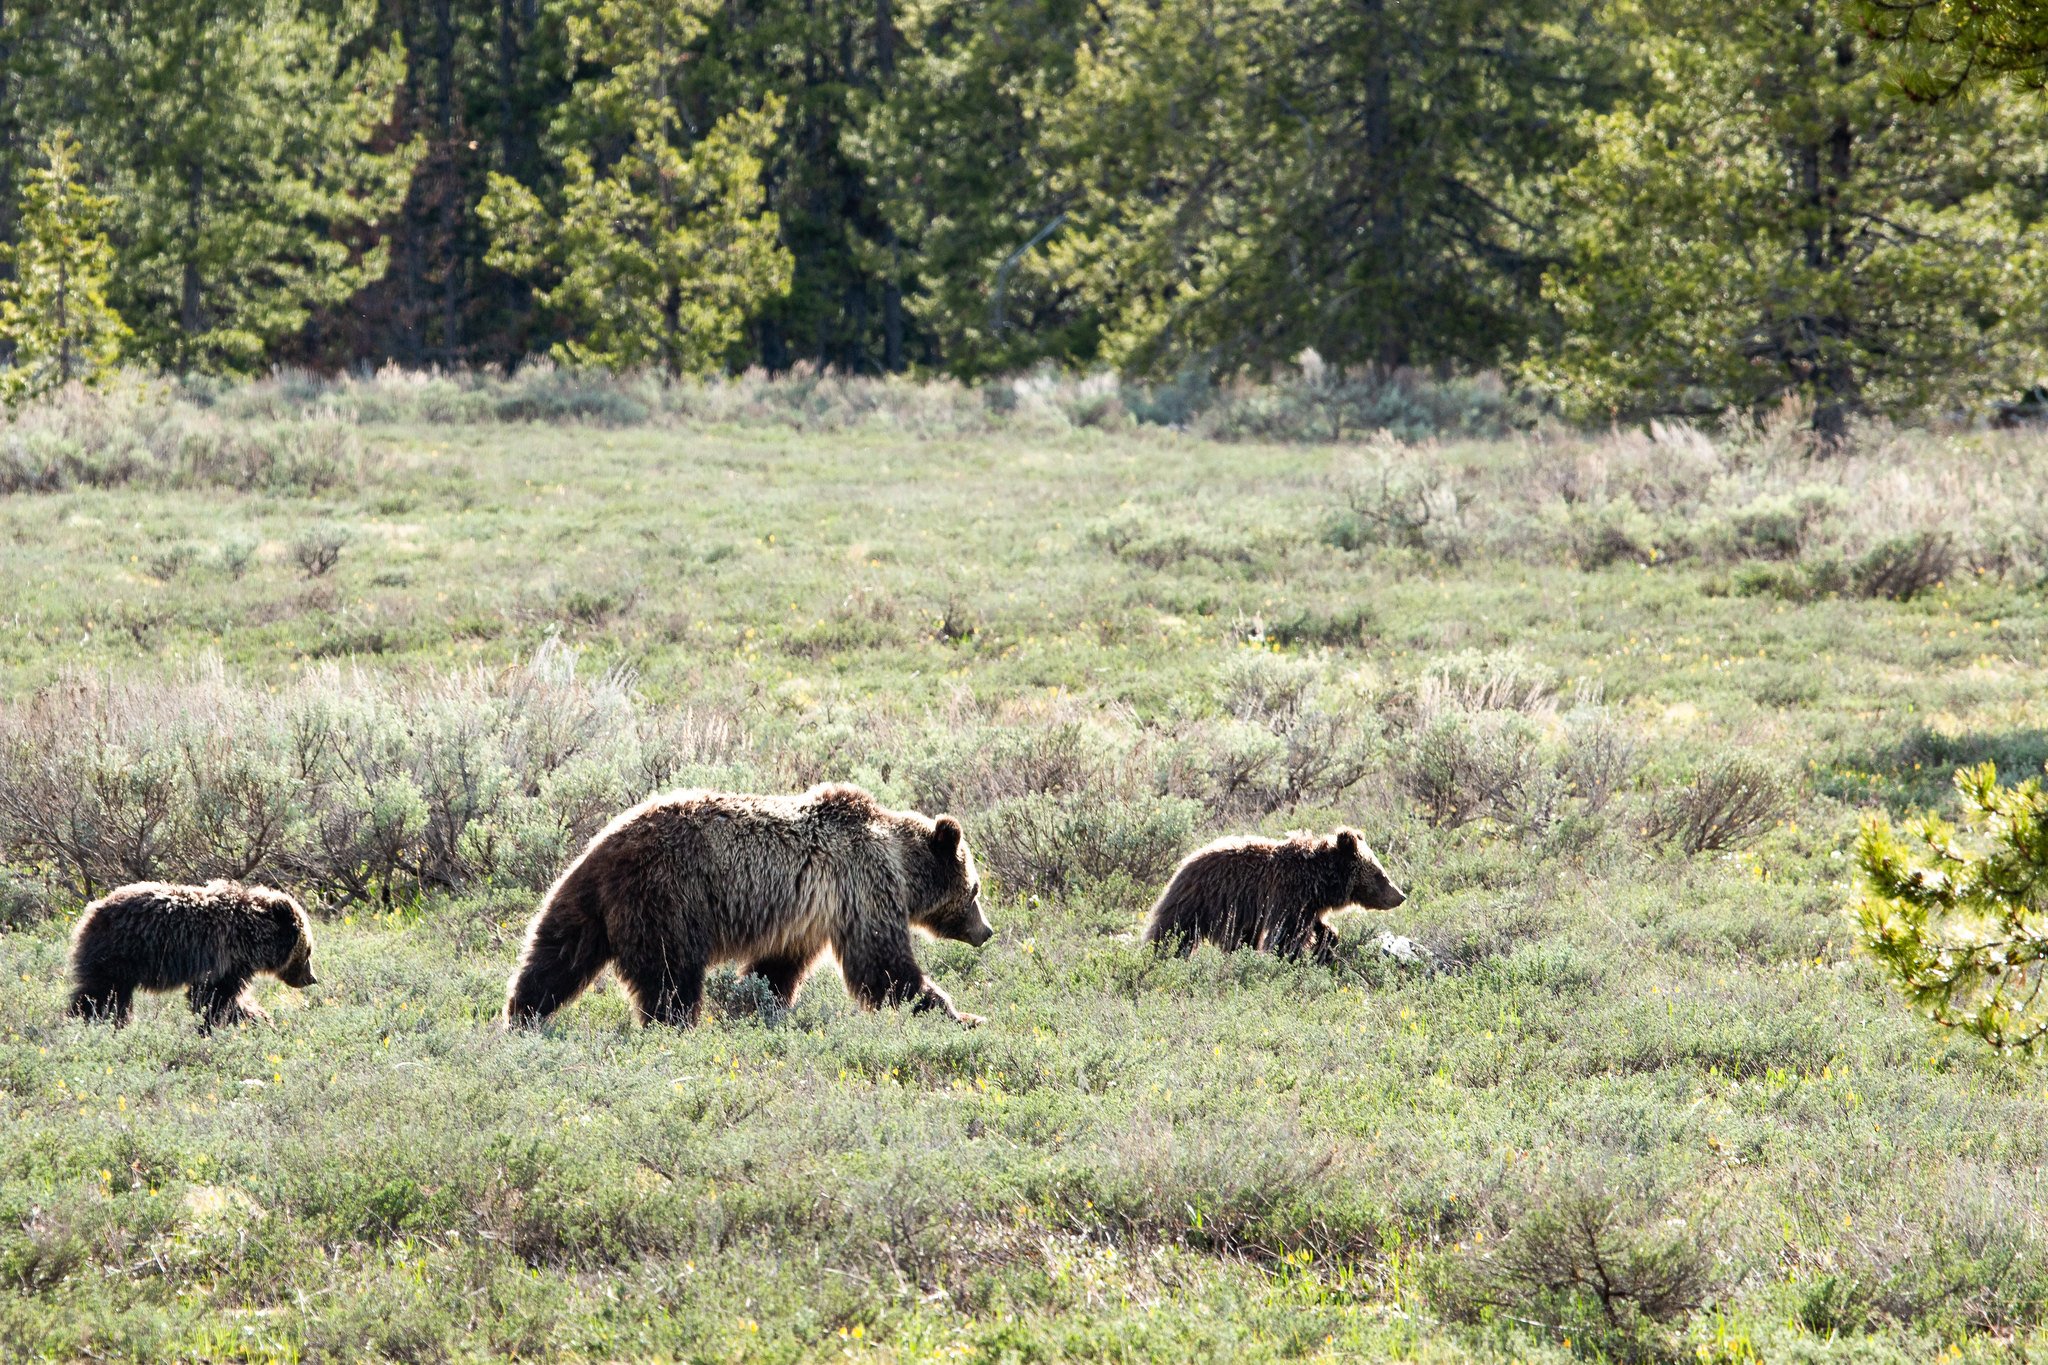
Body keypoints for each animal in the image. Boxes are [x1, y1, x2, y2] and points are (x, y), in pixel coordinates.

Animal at [67, 880, 318, 1031]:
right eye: (308, 951)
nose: (311, 978)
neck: (249, 938)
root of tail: (93, 909)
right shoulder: (222, 960)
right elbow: (214, 998)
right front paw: (249, 1020)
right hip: (122, 954)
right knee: (103, 993)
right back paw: (87, 1020)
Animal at [503, 783, 994, 1029]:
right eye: (974, 890)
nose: (986, 931)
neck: (899, 863)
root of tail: (605, 847)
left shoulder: (804, 918)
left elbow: (775, 969)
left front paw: (758, 1005)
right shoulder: (862, 889)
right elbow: (884, 967)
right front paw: (961, 1014)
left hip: (585, 898)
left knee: (556, 955)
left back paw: (522, 1016)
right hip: (667, 897)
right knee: (670, 976)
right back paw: (675, 1026)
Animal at [1142, 828, 1405, 962]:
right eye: (1379, 873)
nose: (1400, 896)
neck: (1319, 881)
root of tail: (1185, 863)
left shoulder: (1307, 905)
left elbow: (1317, 928)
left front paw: (1327, 944)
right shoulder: (1288, 894)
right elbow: (1287, 936)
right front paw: (1287, 958)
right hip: (1202, 901)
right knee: (1172, 931)